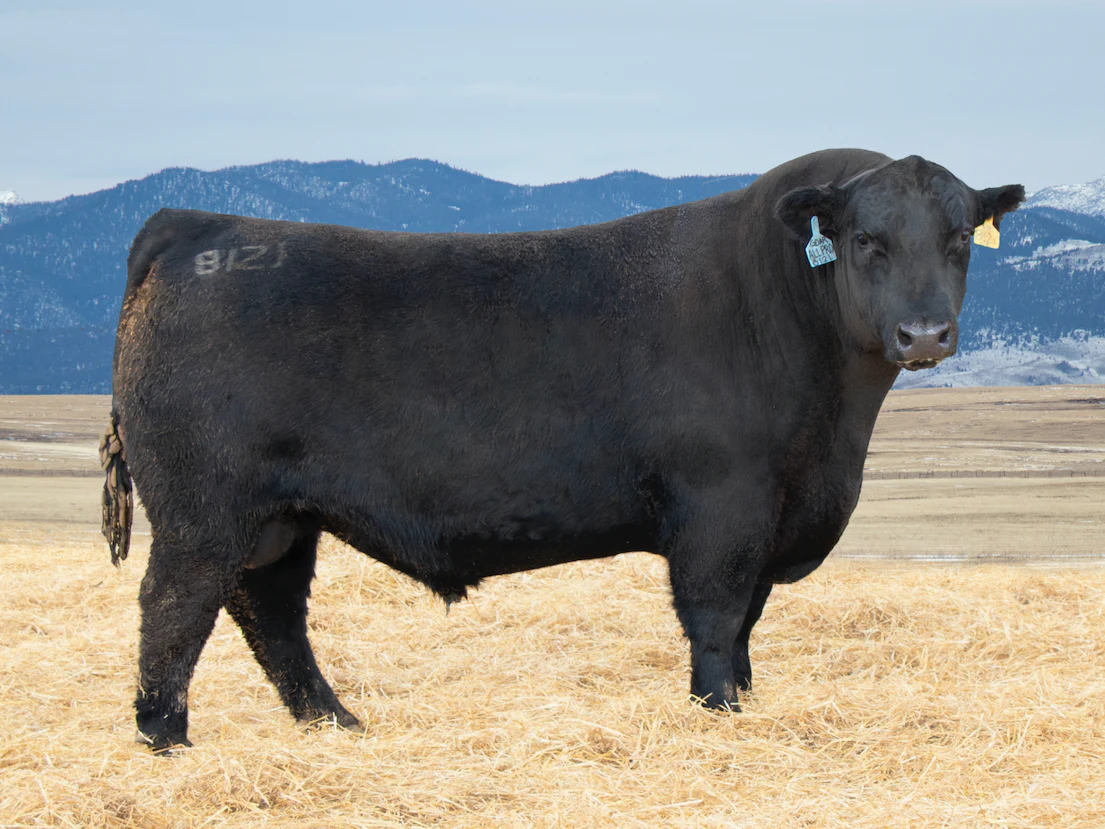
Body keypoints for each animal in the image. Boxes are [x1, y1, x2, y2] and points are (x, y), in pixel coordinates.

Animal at [100, 149, 1024, 751]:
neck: (833, 435)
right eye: (866, 240)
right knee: (173, 609)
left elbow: (748, 621)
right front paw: (716, 711)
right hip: (202, 511)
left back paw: (333, 723)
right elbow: (715, 615)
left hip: (280, 519)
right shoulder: (721, 505)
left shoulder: (773, 511)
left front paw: (746, 700)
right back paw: (166, 739)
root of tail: (195, 224)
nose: (924, 333)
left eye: (958, 239)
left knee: (271, 616)